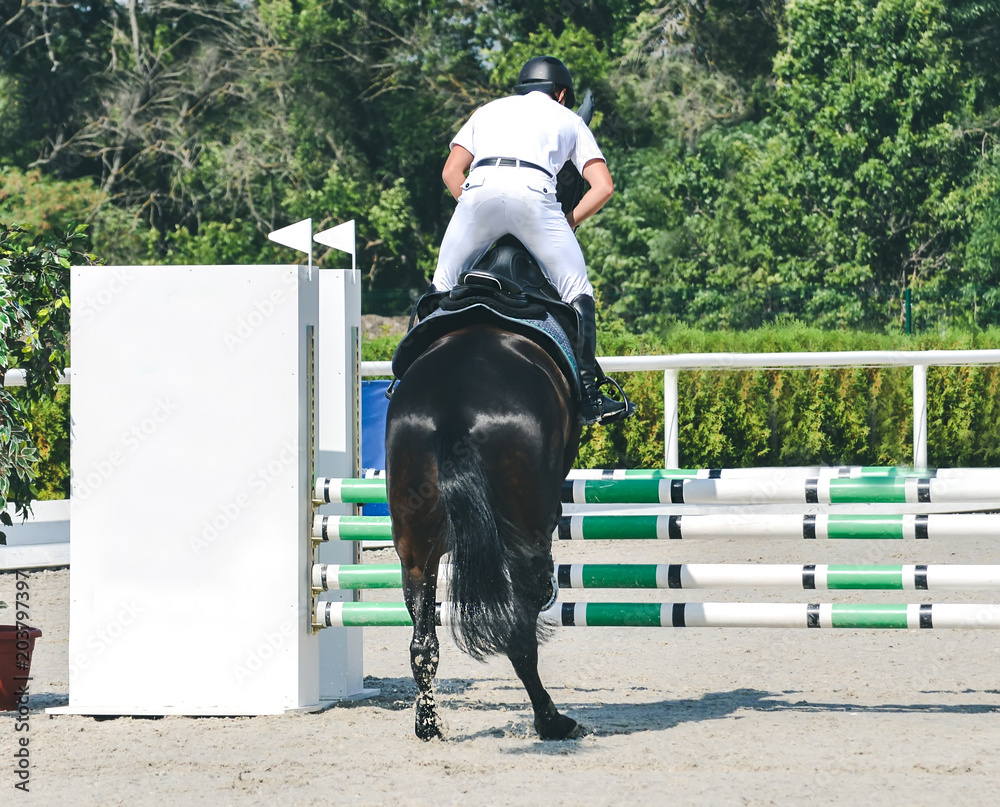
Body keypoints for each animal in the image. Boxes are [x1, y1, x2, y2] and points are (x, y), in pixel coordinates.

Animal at [384, 257, 584, 740]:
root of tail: (453, 411)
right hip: (524, 532)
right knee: (521, 630)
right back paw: (551, 721)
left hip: (414, 548)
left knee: (422, 642)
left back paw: (428, 725)